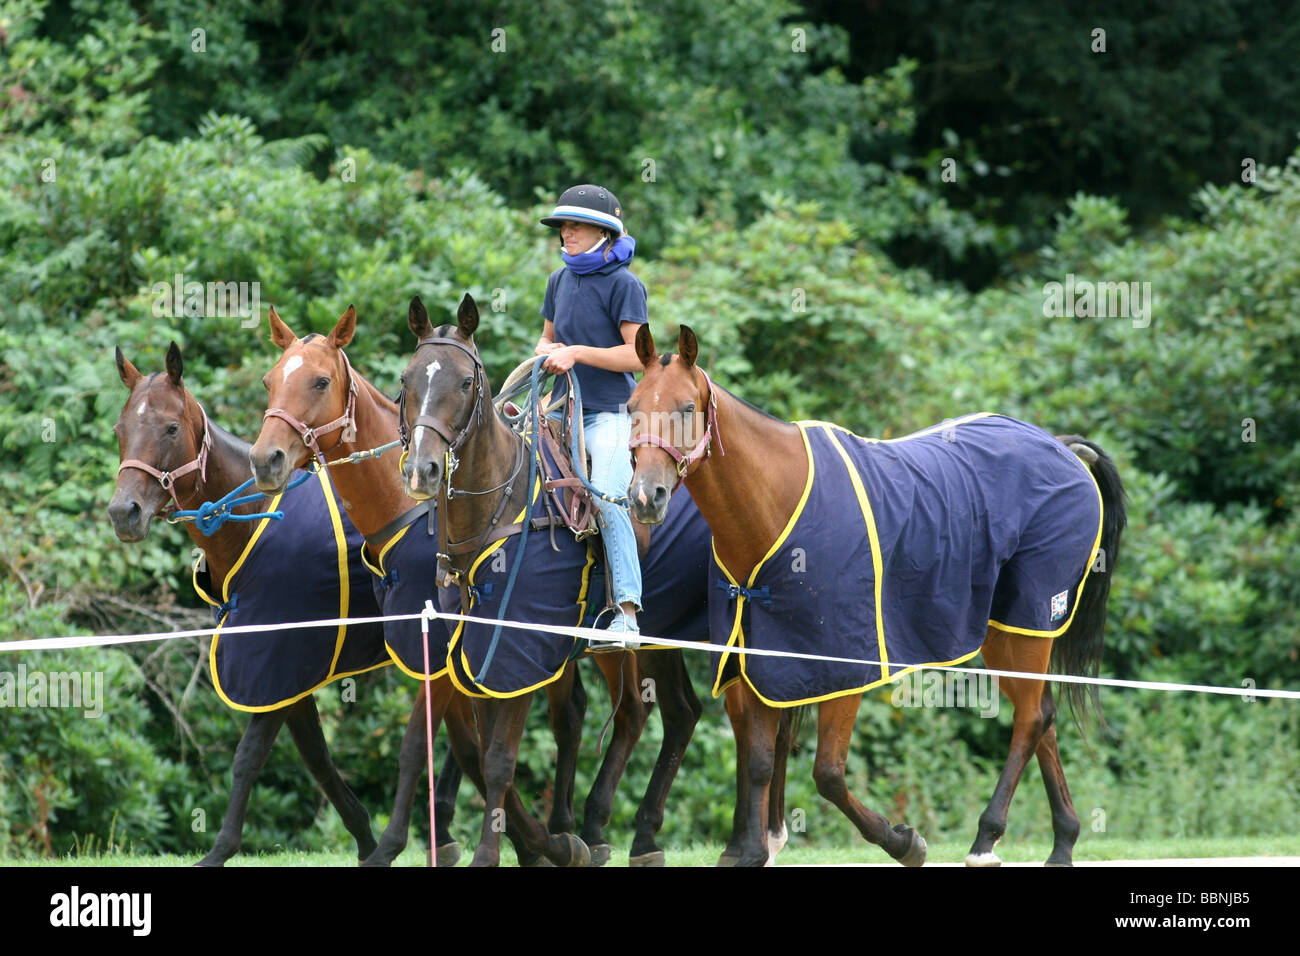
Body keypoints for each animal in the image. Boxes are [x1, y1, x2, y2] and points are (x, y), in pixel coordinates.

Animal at [107, 342, 401, 865]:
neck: (254, 519)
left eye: (171, 428)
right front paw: (368, 842)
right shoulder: (292, 676)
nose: (125, 513)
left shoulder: (278, 664)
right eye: (121, 431)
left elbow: (247, 758)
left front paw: (220, 849)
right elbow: (319, 761)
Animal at [247, 304, 591, 866]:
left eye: (320, 381)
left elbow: (473, 750)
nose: (265, 459)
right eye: (270, 381)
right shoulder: (459, 650)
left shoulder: (491, 644)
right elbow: (448, 746)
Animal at [625, 325, 1127, 867]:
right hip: (1004, 629)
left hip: (1031, 620)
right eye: (631, 407)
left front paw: (904, 842)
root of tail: (1061, 447)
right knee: (1044, 717)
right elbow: (759, 759)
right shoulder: (762, 656)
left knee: (1032, 718)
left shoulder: (841, 665)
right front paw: (752, 851)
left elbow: (827, 774)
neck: (776, 504)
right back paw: (1063, 841)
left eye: (685, 408)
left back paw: (986, 839)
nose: (645, 496)